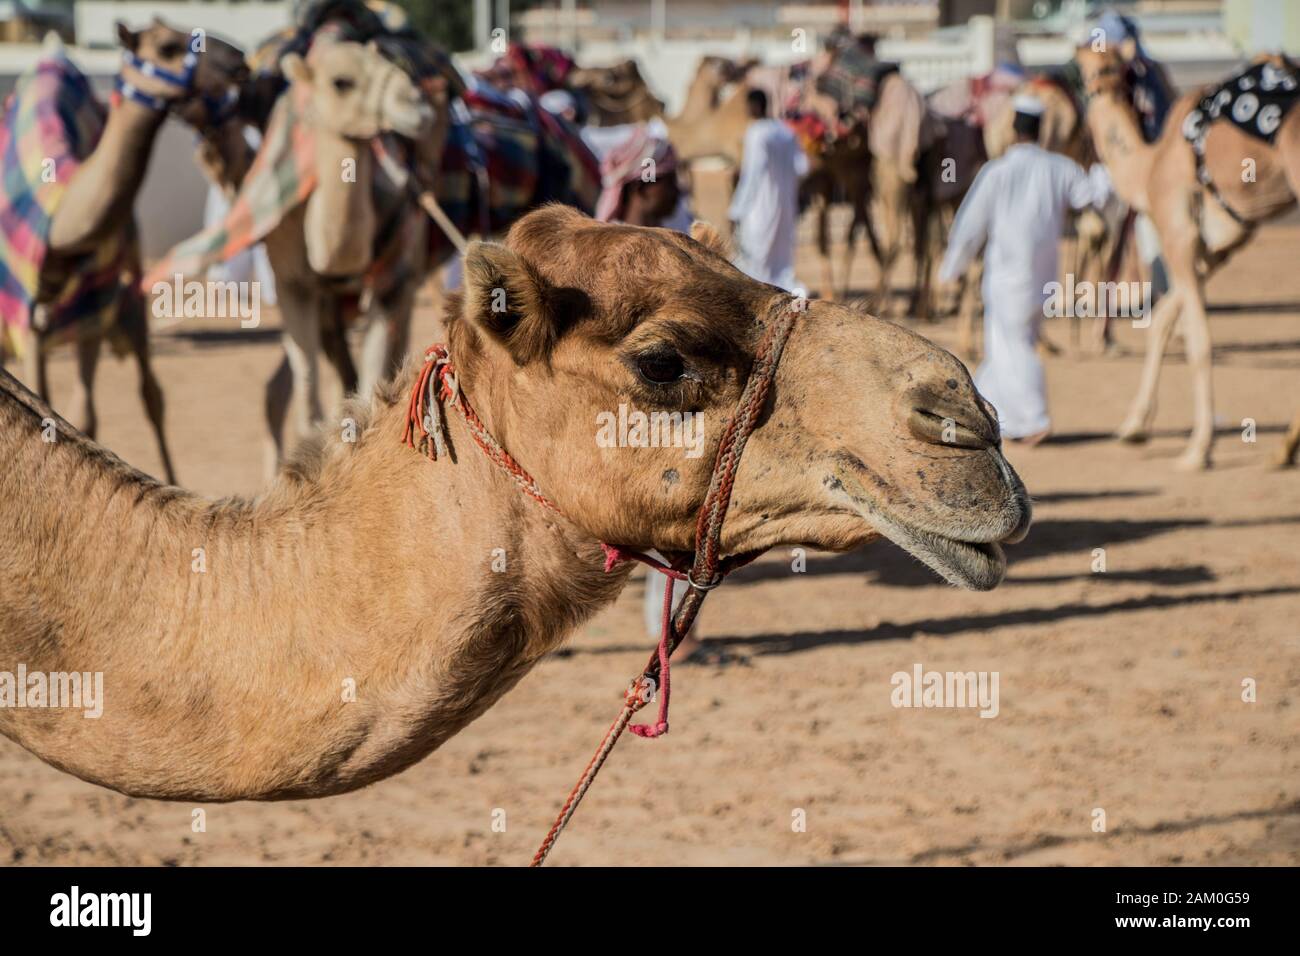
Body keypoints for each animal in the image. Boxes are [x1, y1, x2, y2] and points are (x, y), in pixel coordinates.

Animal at [4, 23, 248, 484]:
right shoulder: (25, 324)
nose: (238, 59)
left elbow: (84, 416)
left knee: (151, 392)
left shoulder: (90, 318)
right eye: (168, 46)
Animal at [1078, 47, 1300, 469]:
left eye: (1109, 65)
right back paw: (1284, 449)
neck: (1148, 166)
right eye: (1085, 65)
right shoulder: (1218, 247)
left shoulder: (1177, 232)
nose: (1095, 84)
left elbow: (1199, 340)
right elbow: (1163, 320)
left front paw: (1198, 450)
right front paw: (1134, 426)